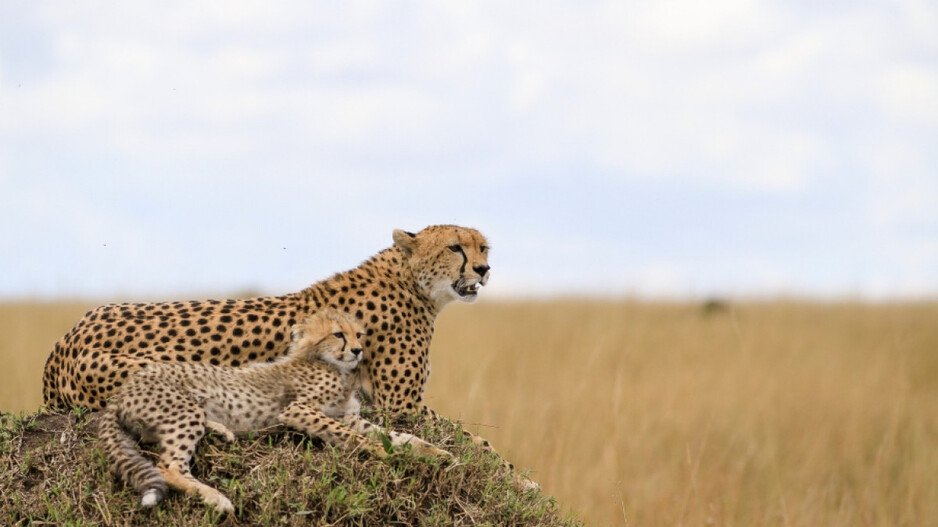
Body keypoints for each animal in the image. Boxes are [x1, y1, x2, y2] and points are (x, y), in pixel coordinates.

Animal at [99, 308, 451, 512]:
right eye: (338, 334)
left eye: (358, 334)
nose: (357, 350)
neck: (331, 365)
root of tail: (124, 388)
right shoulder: (298, 410)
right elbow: (358, 439)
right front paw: (385, 454)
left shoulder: (350, 416)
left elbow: (398, 436)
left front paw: (437, 453)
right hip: (182, 411)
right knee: (169, 466)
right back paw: (217, 498)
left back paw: (222, 431)